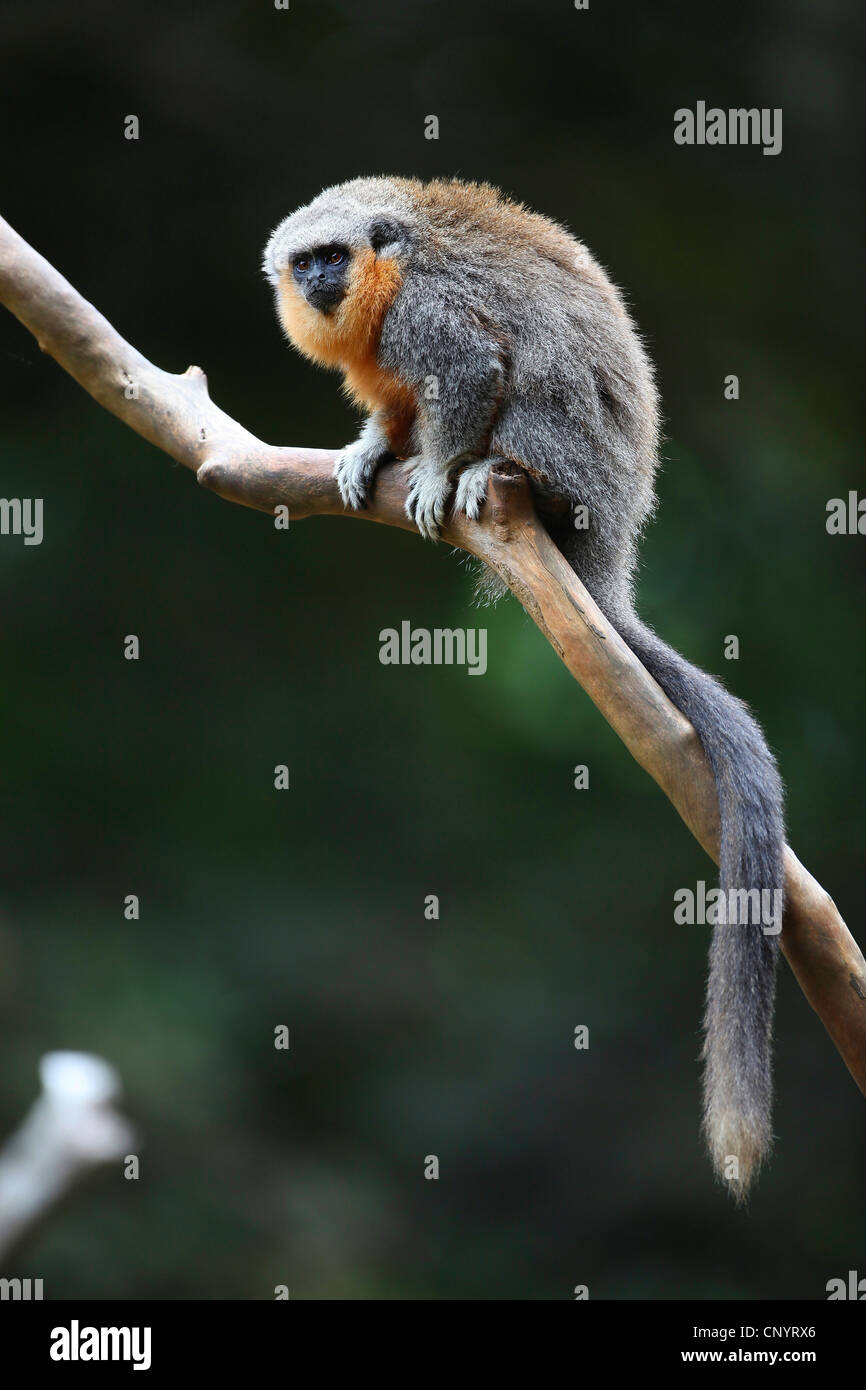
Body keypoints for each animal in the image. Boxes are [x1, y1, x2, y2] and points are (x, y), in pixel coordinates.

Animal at [263, 176, 785, 1200]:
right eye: (304, 263)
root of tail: (613, 543)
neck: (389, 277)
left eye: (334, 256)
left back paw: (497, 476)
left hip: (573, 471)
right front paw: (371, 446)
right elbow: (395, 405)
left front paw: (436, 467)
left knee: (525, 403)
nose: (318, 285)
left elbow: (472, 373)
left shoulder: (428, 318)